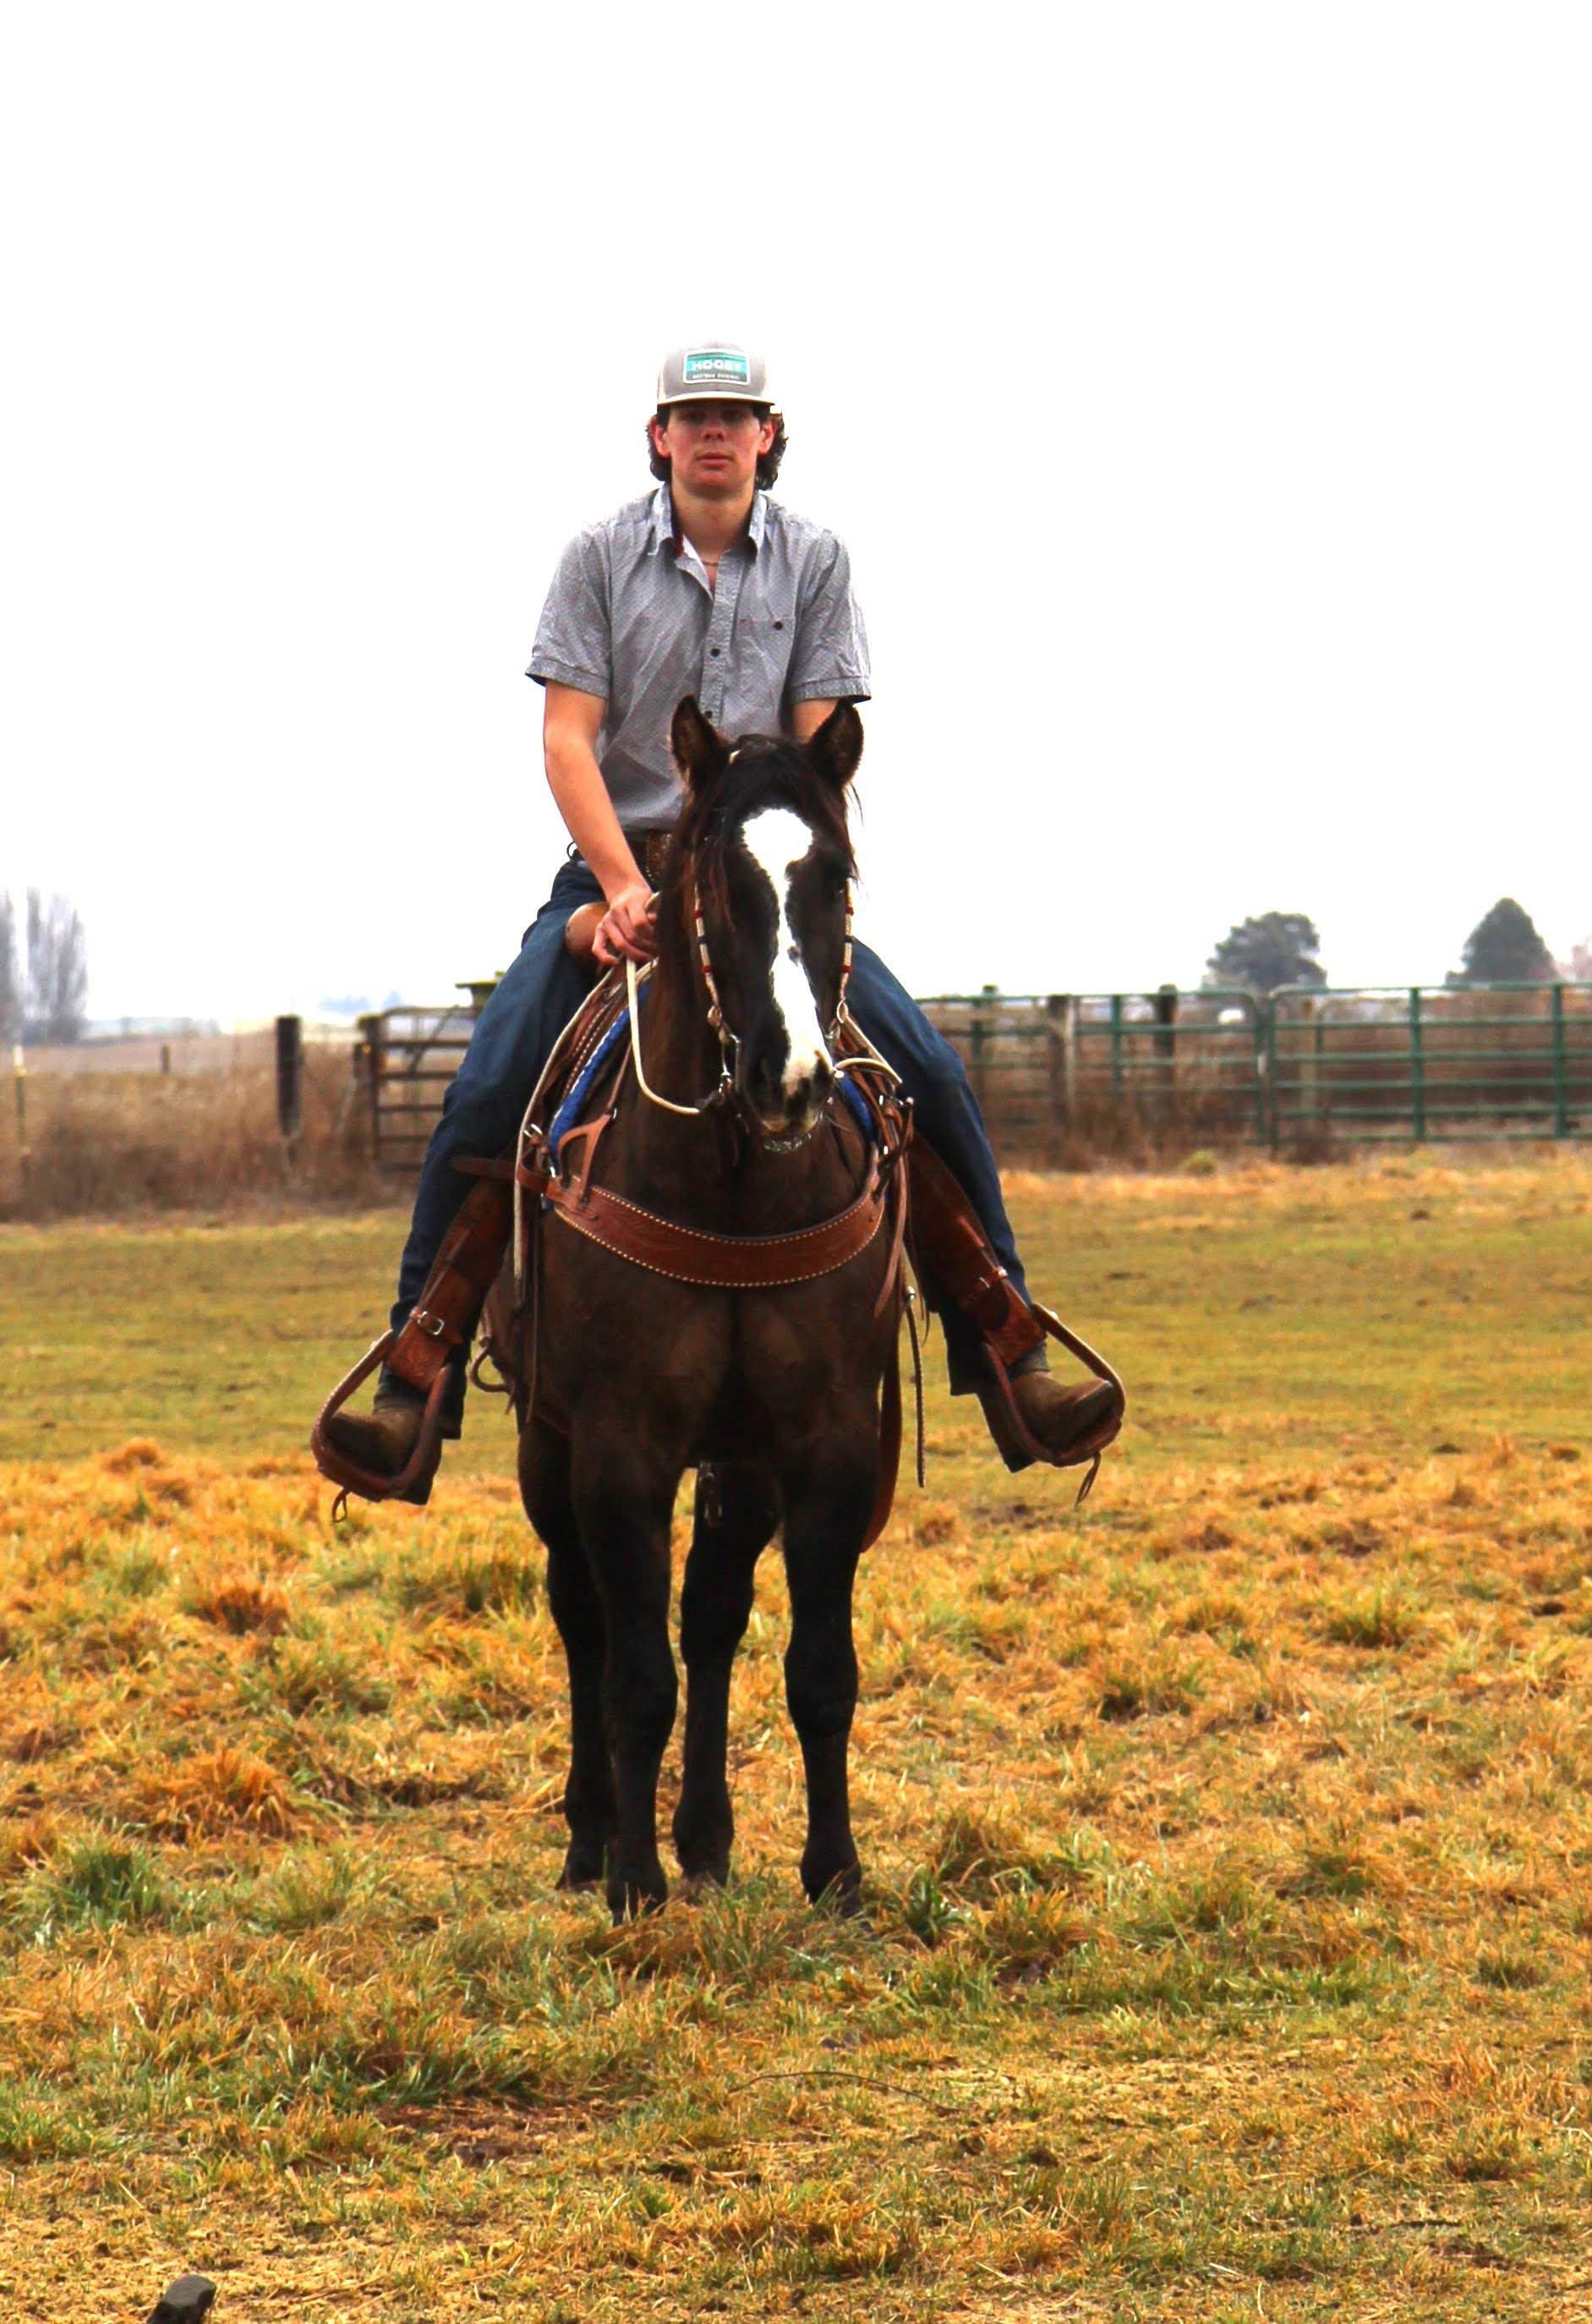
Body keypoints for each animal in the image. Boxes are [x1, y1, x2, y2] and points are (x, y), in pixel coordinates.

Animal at [496, 696, 906, 1922]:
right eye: (720, 881)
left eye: (835, 875)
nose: (792, 1078)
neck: (726, 1187)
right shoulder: (617, 1449)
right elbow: (634, 1674)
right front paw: (632, 1881)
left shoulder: (821, 1445)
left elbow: (817, 1670)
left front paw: (835, 1872)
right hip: (546, 1446)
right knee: (583, 1617)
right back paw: (592, 1843)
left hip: (740, 1461)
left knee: (711, 1615)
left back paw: (709, 1841)